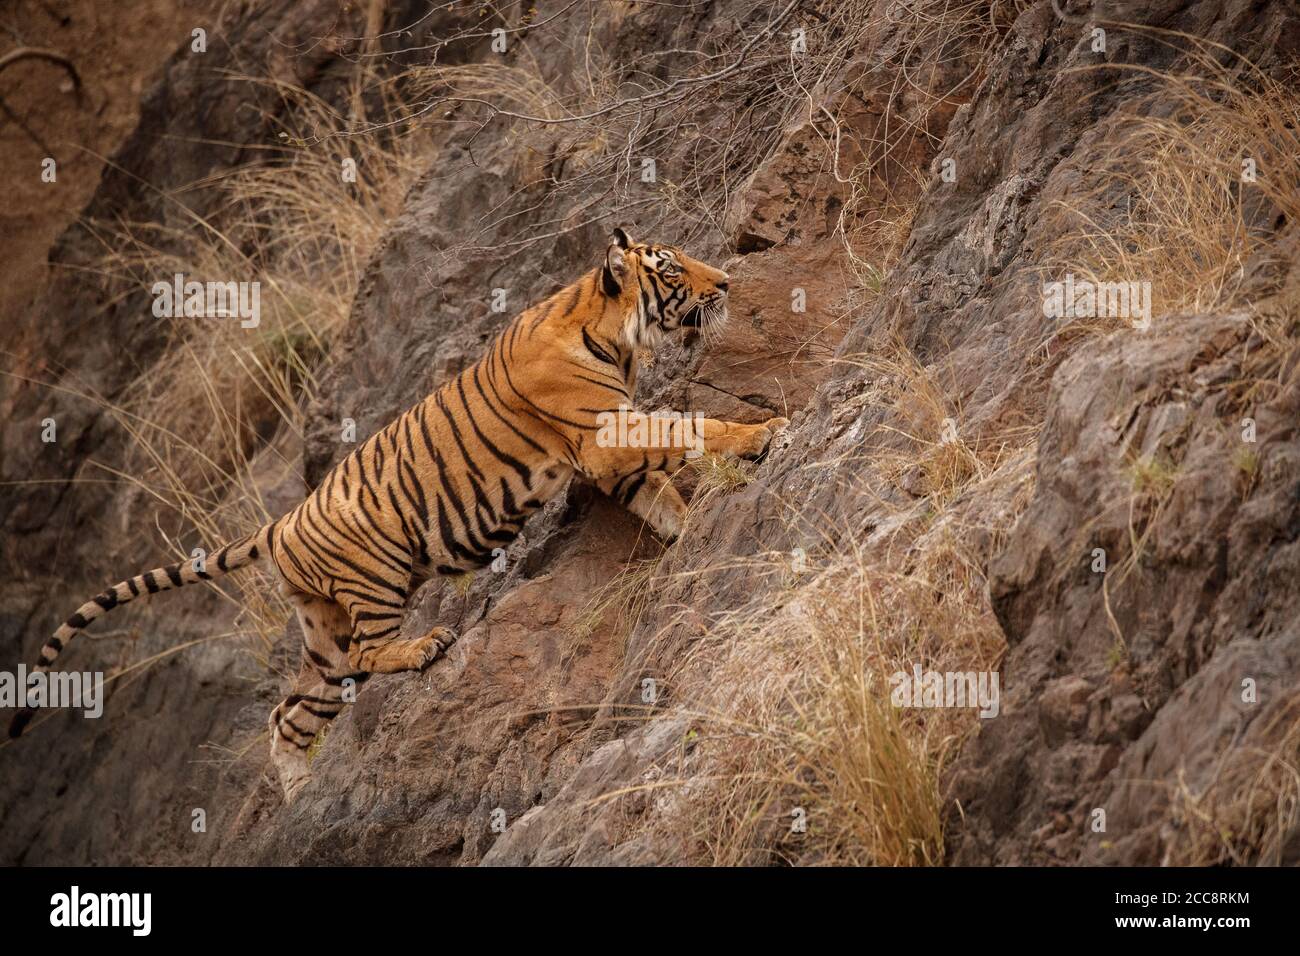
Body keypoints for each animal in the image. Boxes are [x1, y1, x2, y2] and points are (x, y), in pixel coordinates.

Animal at [7, 228, 789, 802]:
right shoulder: (606, 438)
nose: (726, 283)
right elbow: (690, 428)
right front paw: (762, 434)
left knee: (288, 714)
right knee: (368, 654)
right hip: (376, 579)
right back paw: (424, 648)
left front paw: (688, 534)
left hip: (320, 635)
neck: (611, 331)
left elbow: (663, 493)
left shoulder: (611, 457)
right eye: (672, 267)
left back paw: (299, 795)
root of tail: (282, 522)